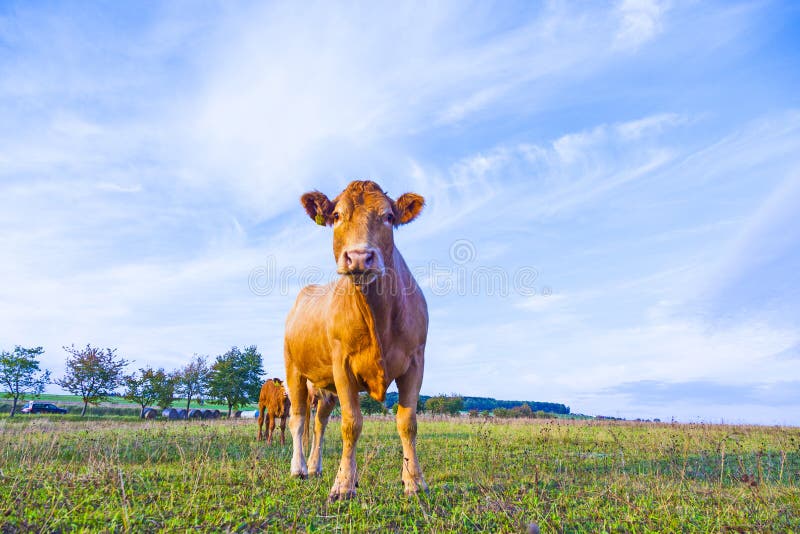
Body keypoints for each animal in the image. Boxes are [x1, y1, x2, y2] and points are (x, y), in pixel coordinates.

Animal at [284, 180, 428, 501]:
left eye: (389, 217)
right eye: (337, 215)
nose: (360, 257)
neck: (379, 319)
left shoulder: (416, 362)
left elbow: (408, 423)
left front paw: (414, 481)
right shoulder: (343, 365)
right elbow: (351, 424)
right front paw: (343, 484)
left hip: (325, 387)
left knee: (319, 422)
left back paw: (315, 467)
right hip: (293, 370)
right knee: (297, 420)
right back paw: (299, 468)